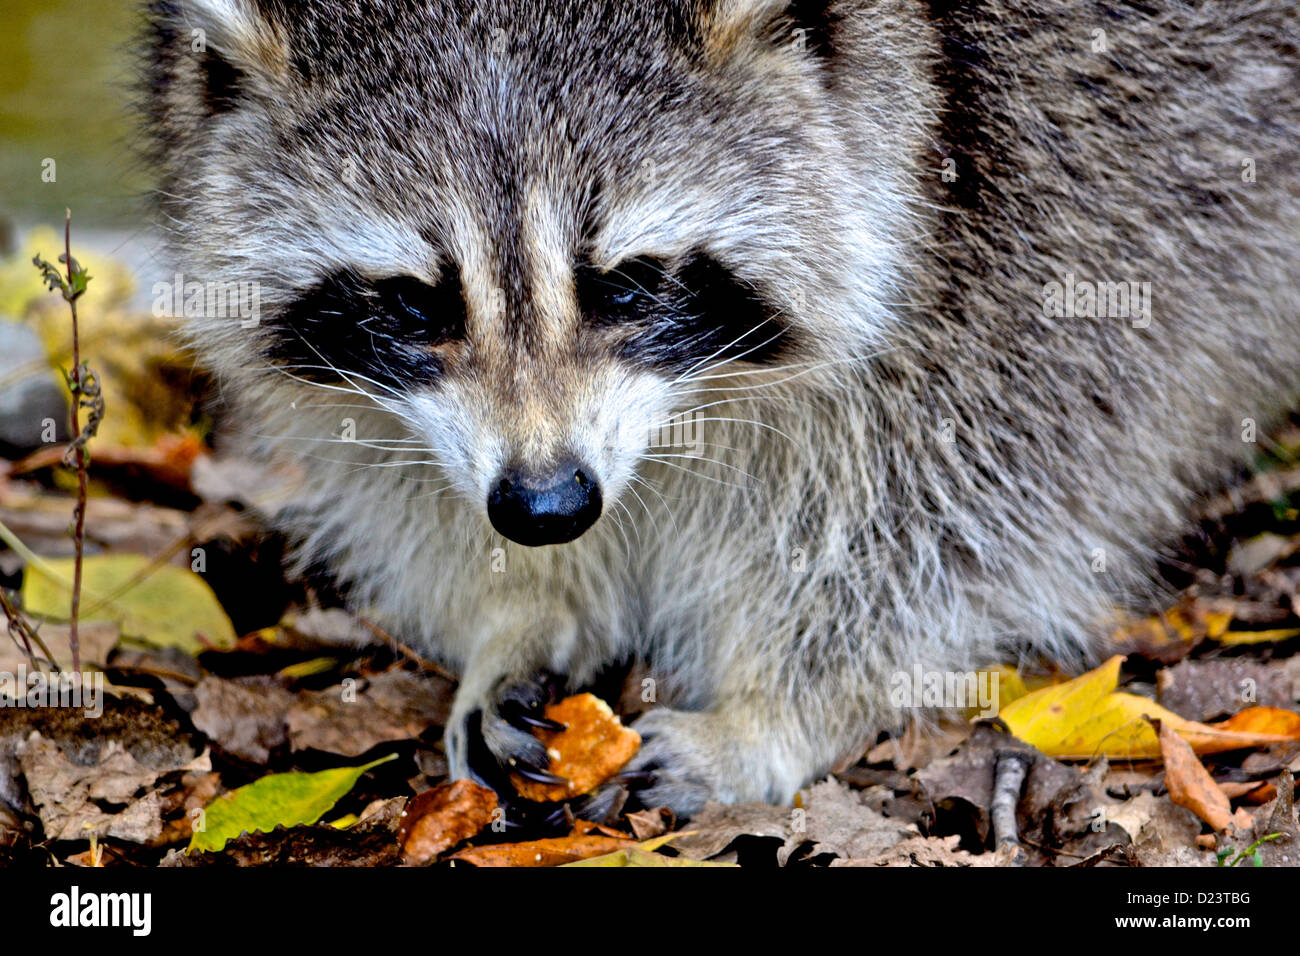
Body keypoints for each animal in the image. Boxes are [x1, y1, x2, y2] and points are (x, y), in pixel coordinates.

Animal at [143, 0, 1300, 815]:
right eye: (415, 303)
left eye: (627, 285)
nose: (547, 507)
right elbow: (398, 466)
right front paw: (522, 610)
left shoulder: (1051, 183)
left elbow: (975, 486)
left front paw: (777, 707)